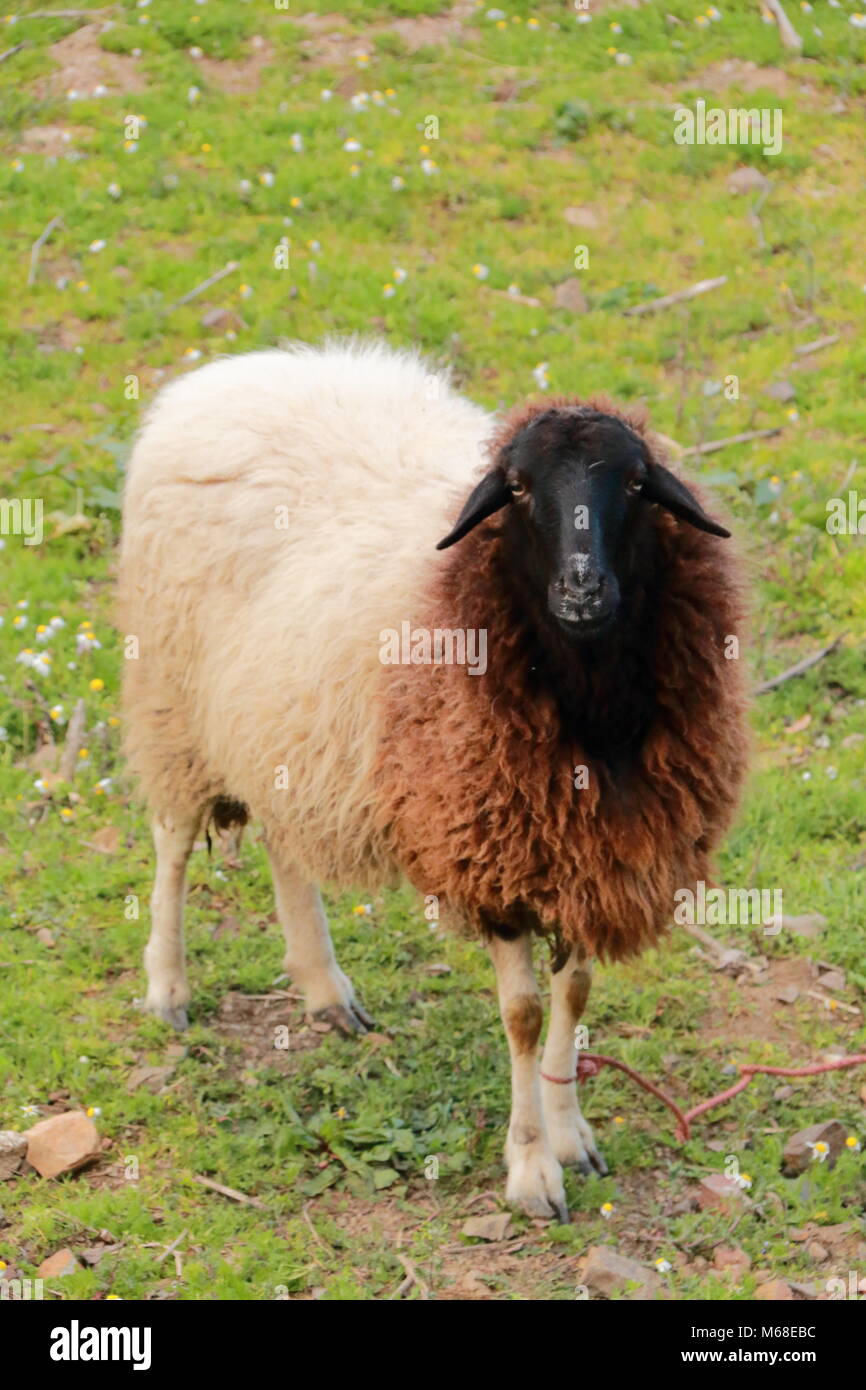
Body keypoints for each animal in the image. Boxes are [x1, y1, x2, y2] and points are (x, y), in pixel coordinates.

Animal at [117, 339, 749, 1220]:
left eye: (632, 484)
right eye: (517, 488)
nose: (581, 588)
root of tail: (229, 373)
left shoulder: (591, 854)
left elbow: (576, 996)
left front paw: (571, 1135)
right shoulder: (493, 849)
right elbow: (523, 1014)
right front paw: (531, 1169)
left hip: (281, 721)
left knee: (284, 839)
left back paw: (324, 987)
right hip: (173, 705)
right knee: (173, 844)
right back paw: (169, 988)